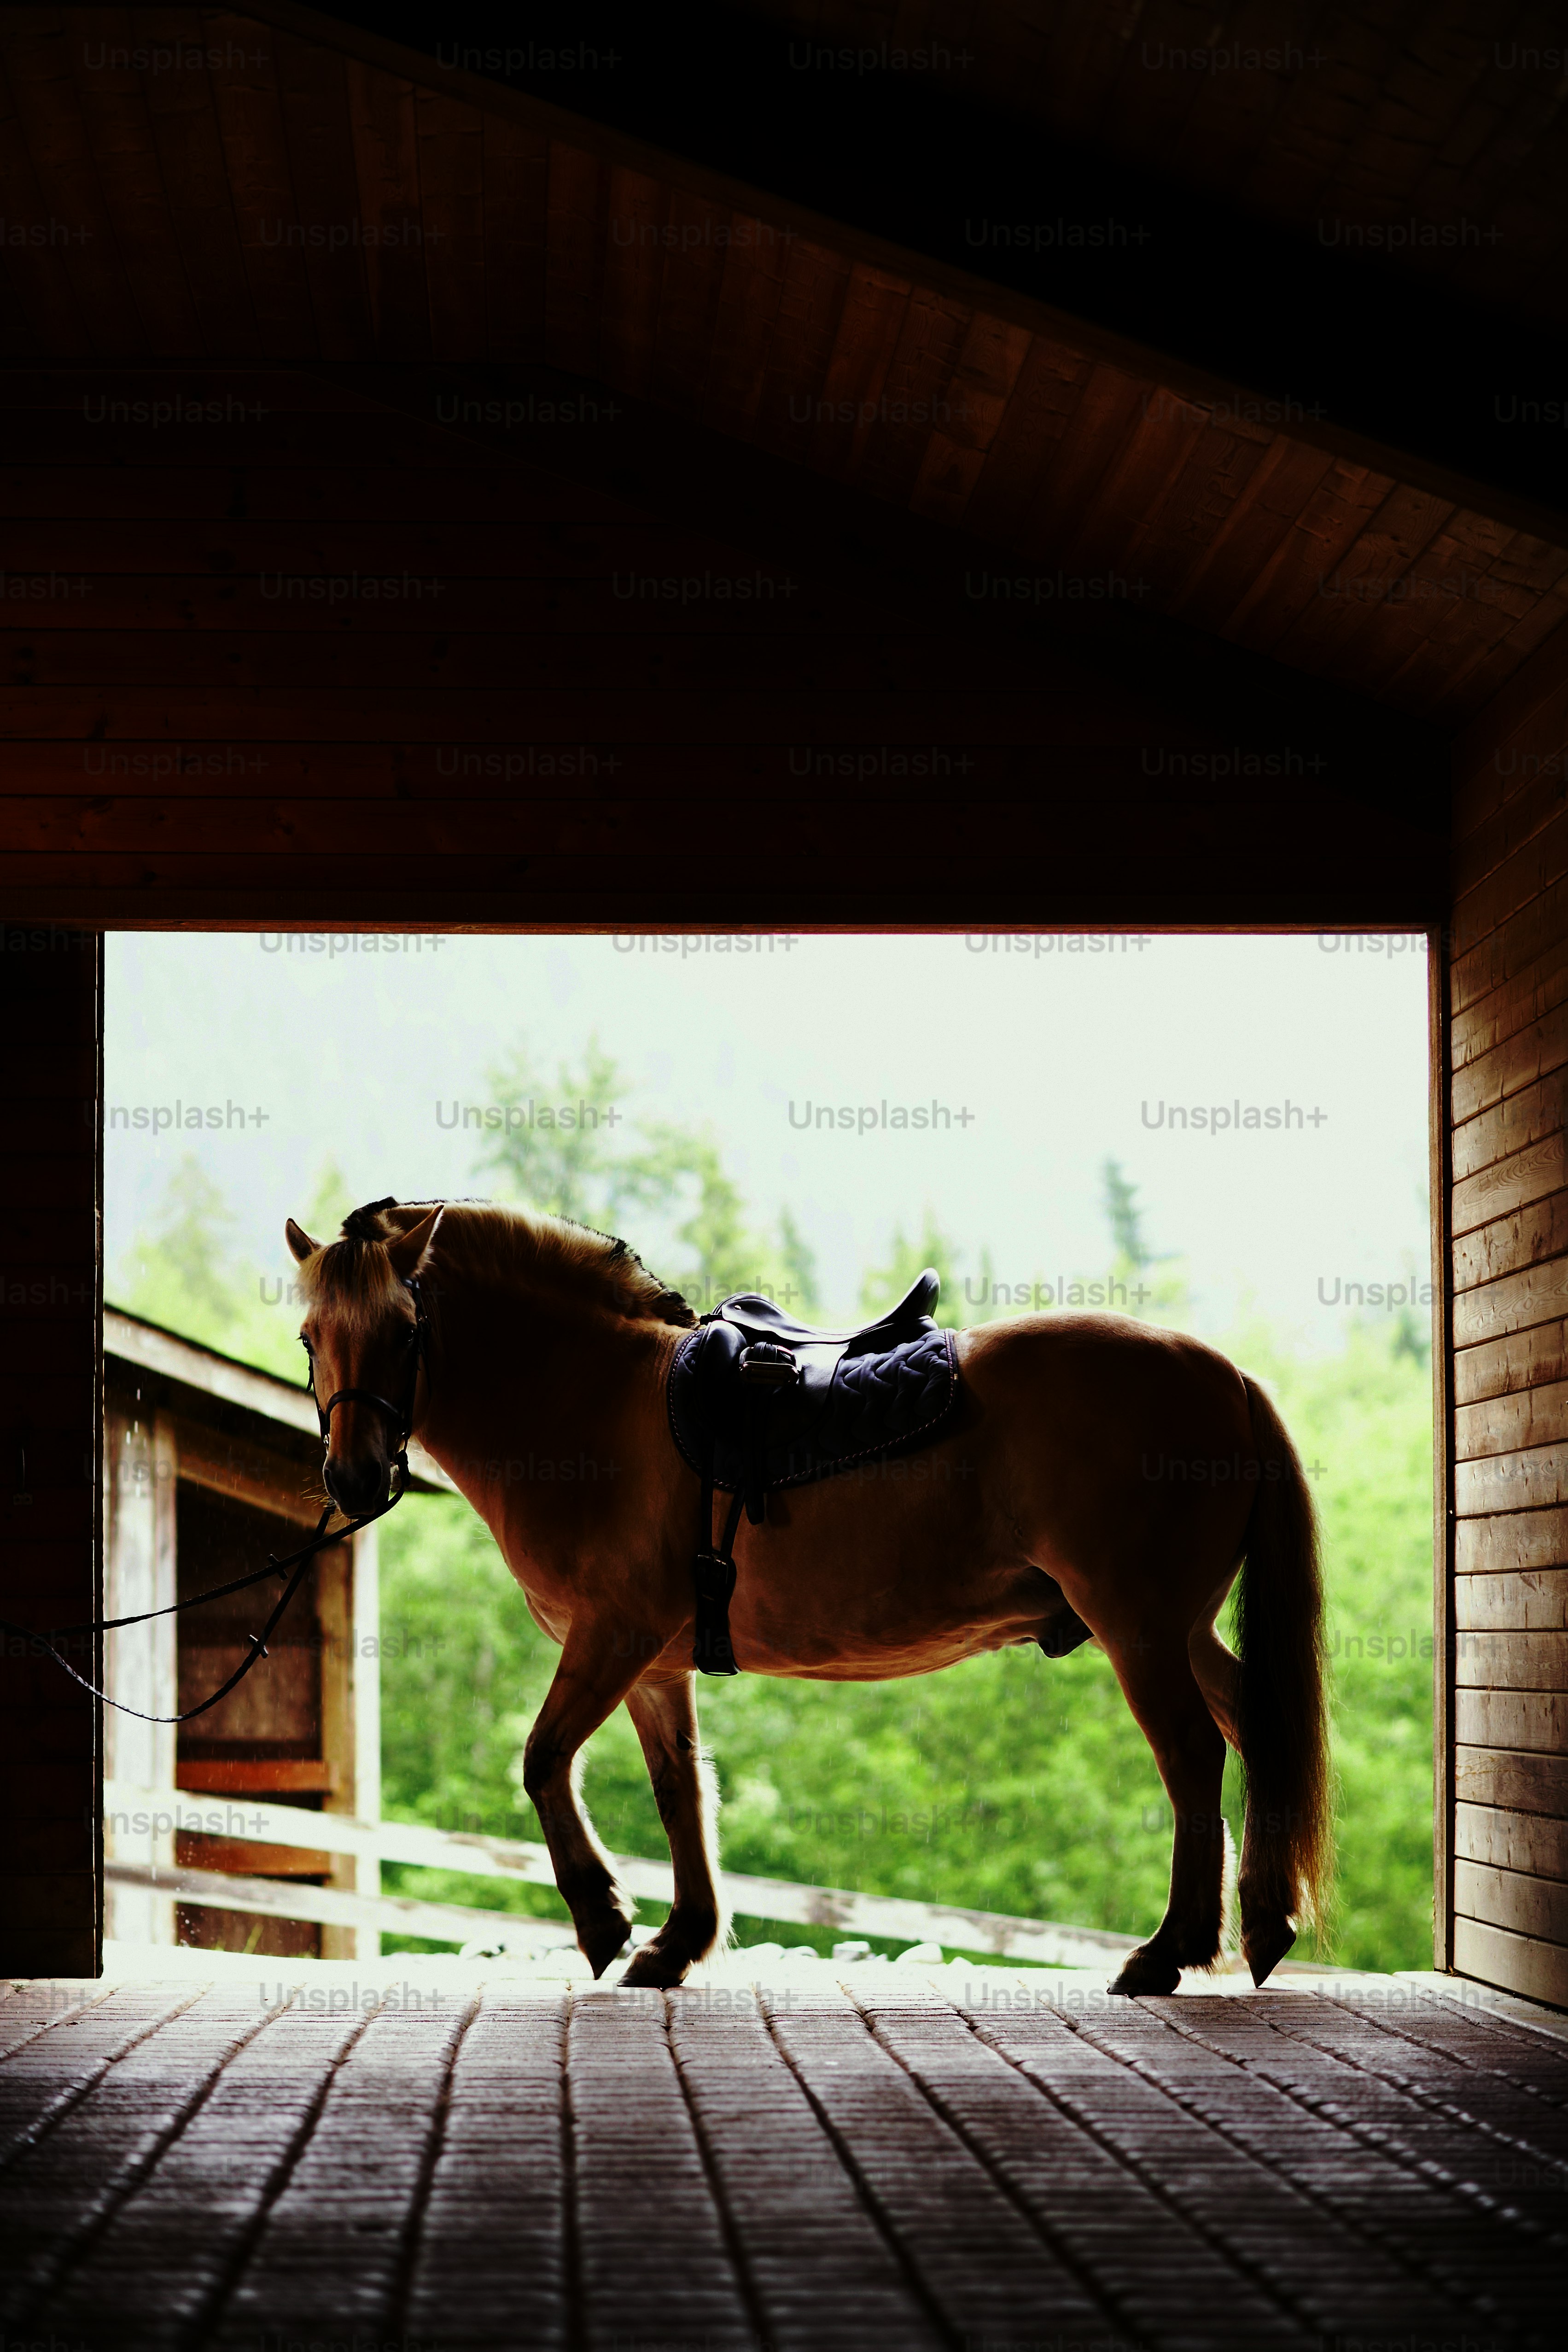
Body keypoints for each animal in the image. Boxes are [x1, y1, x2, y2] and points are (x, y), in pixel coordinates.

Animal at [285, 1197, 1330, 1994]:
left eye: (405, 1331)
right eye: (310, 1335)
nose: (353, 1479)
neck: (595, 1402)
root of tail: (1224, 1376)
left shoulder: (611, 1636)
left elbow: (544, 1761)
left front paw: (603, 1918)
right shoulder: (654, 1664)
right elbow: (681, 1792)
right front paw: (677, 1942)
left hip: (1140, 1627)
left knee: (1193, 1755)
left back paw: (1168, 1952)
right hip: (1181, 1630)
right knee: (1255, 1729)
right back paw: (1263, 1923)